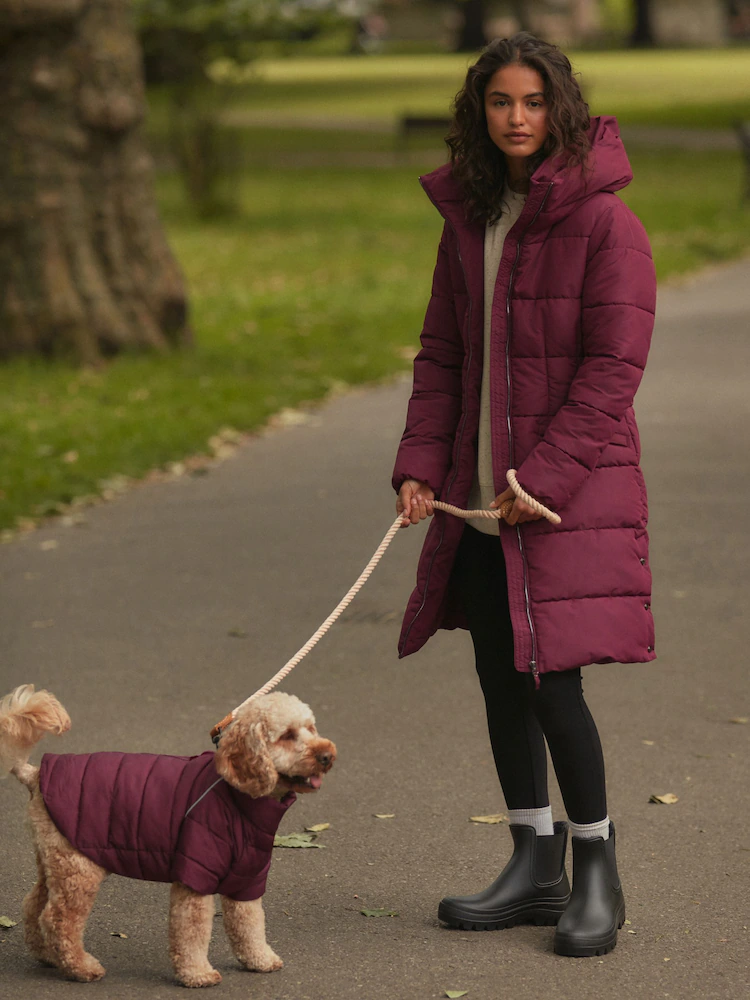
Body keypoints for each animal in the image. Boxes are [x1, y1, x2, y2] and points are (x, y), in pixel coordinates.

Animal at [0, 688, 334, 984]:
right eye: (287, 735)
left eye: (310, 728)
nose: (327, 755)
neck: (238, 795)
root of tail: (34, 774)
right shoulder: (196, 874)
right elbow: (193, 930)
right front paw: (197, 974)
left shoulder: (247, 874)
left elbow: (249, 922)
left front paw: (260, 960)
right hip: (79, 870)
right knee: (58, 919)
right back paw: (81, 968)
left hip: (56, 860)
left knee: (34, 905)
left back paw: (48, 955)